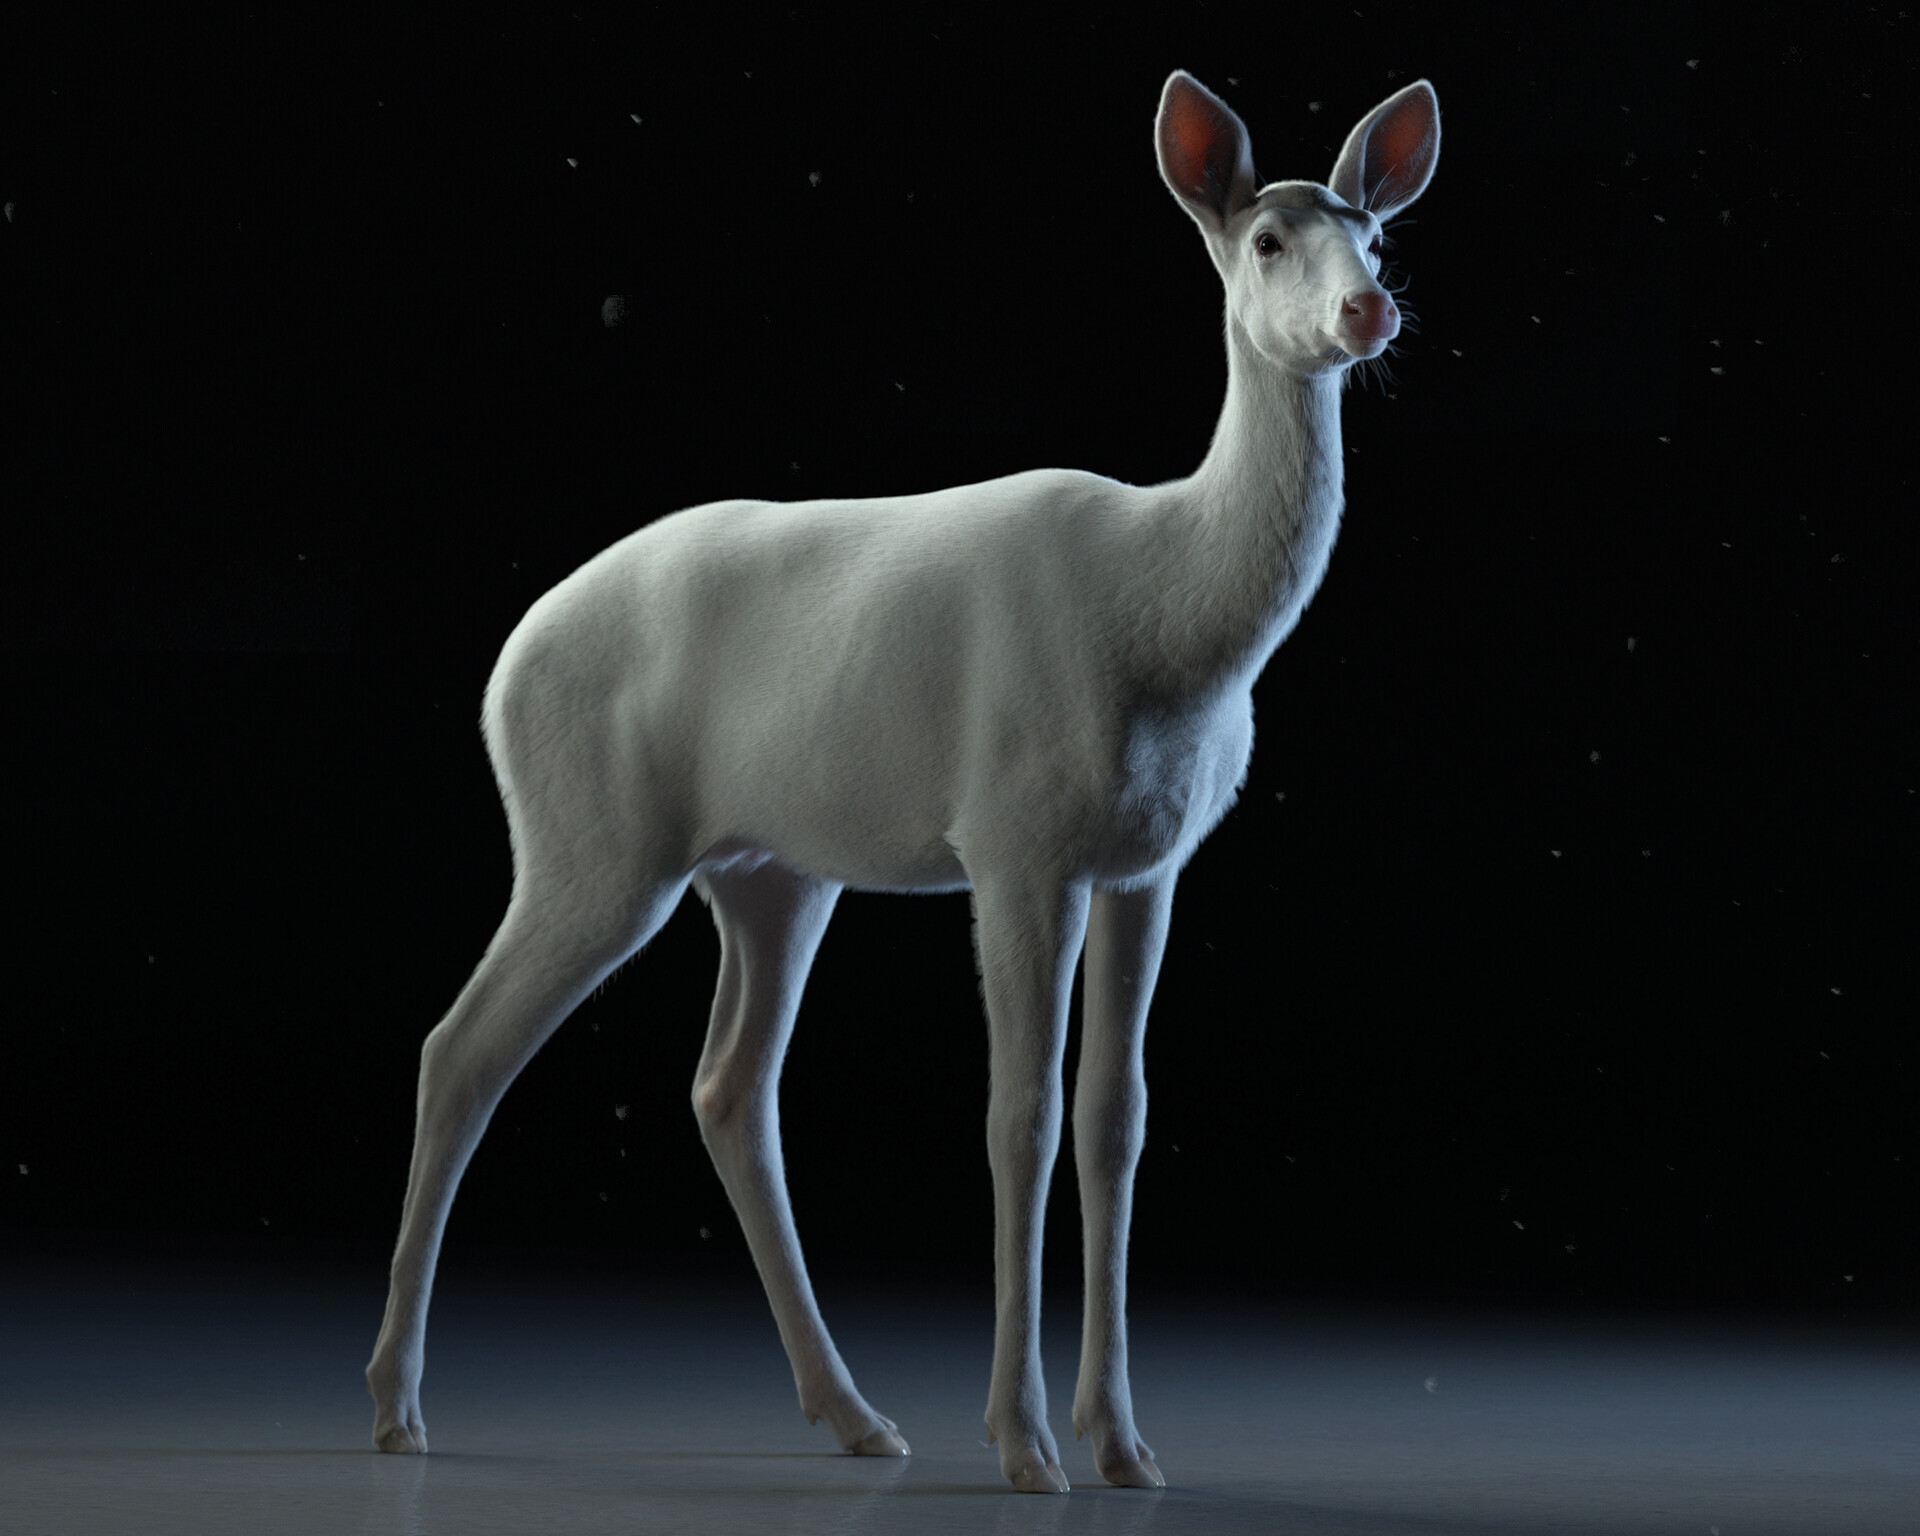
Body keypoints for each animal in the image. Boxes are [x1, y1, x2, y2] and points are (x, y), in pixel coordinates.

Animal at [364, 69, 1439, 1494]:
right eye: (1267, 239)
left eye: (1373, 234)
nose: (1368, 309)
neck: (1168, 621)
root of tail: (501, 675)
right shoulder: (1014, 841)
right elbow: (1019, 1117)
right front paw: (1027, 1444)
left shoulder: (1149, 862)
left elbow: (1116, 1118)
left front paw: (1124, 1444)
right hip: (589, 842)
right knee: (461, 1048)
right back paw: (395, 1406)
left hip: (771, 872)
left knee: (727, 1085)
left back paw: (857, 1414)